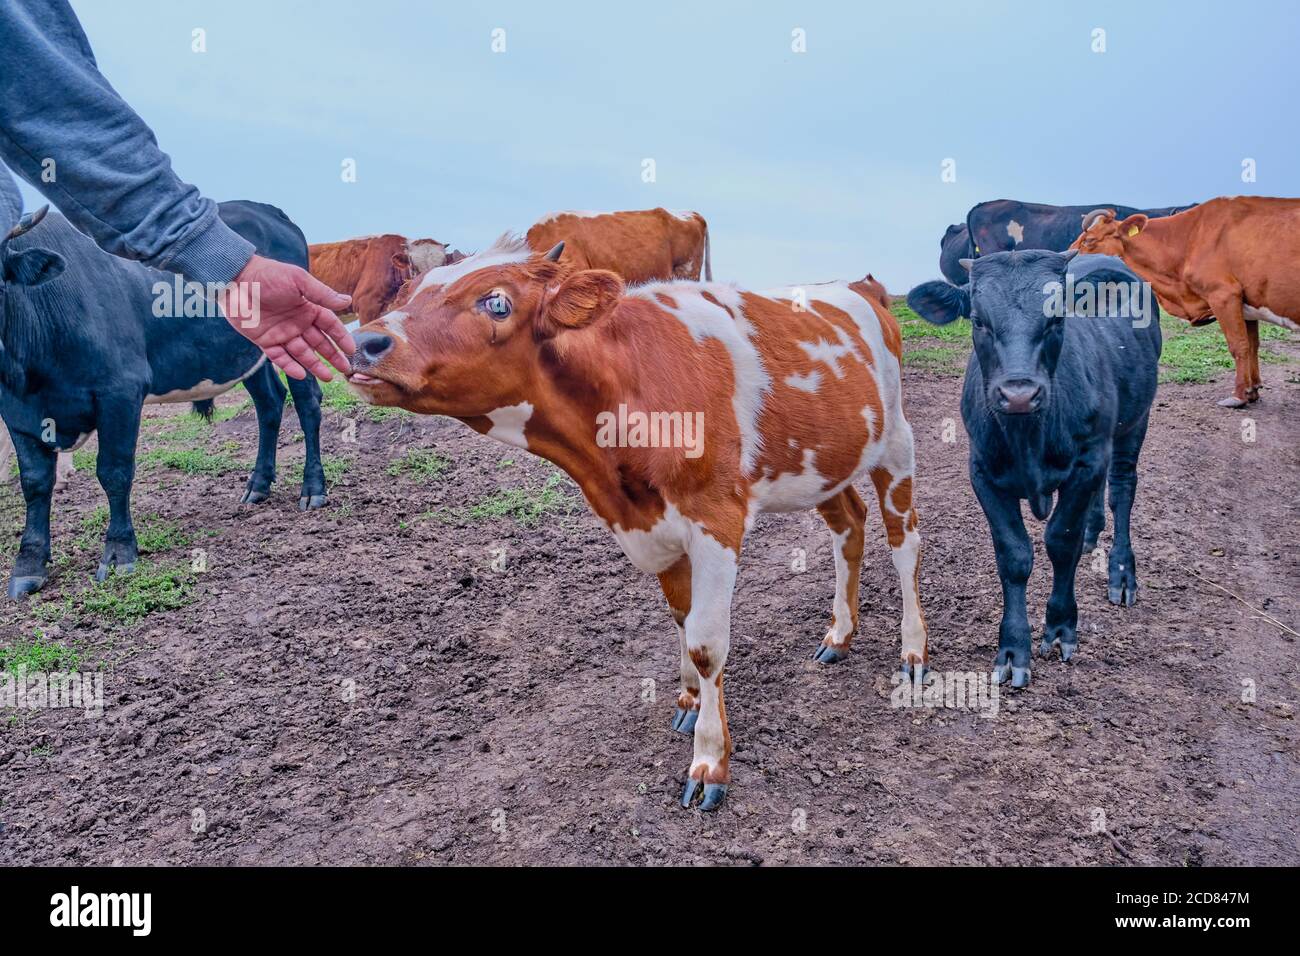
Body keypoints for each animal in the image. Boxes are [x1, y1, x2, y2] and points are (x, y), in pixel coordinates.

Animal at [0, 200, 327, 599]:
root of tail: (264, 210)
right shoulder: (17, 410)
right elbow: (34, 483)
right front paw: (29, 564)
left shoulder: (120, 391)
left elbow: (114, 472)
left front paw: (118, 552)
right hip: (247, 351)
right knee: (269, 404)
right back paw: (258, 485)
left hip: (297, 337)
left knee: (307, 402)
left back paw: (313, 489)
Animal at [346, 238, 927, 811]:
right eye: (408, 291)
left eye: (496, 302)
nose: (363, 340)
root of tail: (859, 287)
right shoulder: (652, 527)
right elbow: (682, 619)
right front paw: (689, 700)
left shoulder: (716, 519)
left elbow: (706, 641)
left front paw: (710, 761)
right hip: (825, 464)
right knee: (848, 525)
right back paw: (840, 634)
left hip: (896, 443)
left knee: (904, 543)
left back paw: (914, 649)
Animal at [907, 249, 1160, 687]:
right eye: (978, 320)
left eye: (1057, 319)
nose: (1019, 394)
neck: (1027, 436)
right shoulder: (982, 471)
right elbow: (1014, 555)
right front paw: (1013, 649)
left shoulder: (1087, 461)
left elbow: (1061, 541)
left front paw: (1060, 628)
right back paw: (1094, 533)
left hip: (1134, 422)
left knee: (1122, 489)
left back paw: (1122, 573)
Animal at [1072, 197, 1300, 408]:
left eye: (1089, 240)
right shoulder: (1247, 305)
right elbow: (1252, 345)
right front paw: (1252, 391)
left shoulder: (1224, 296)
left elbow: (1239, 345)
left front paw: (1238, 396)